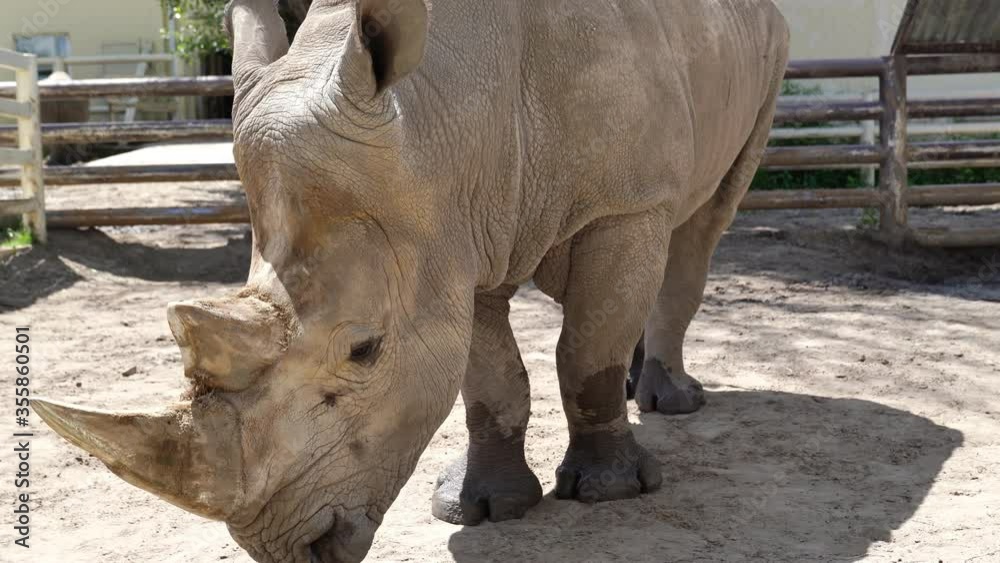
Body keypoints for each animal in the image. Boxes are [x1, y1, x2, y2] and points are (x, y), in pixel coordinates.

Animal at [34, 0, 789, 561]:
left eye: (363, 350)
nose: (293, 549)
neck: (437, 113)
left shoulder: (623, 202)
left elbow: (584, 349)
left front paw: (609, 492)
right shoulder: (450, 228)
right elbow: (487, 370)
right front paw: (482, 506)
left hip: (769, 54)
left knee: (703, 222)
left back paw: (670, 403)